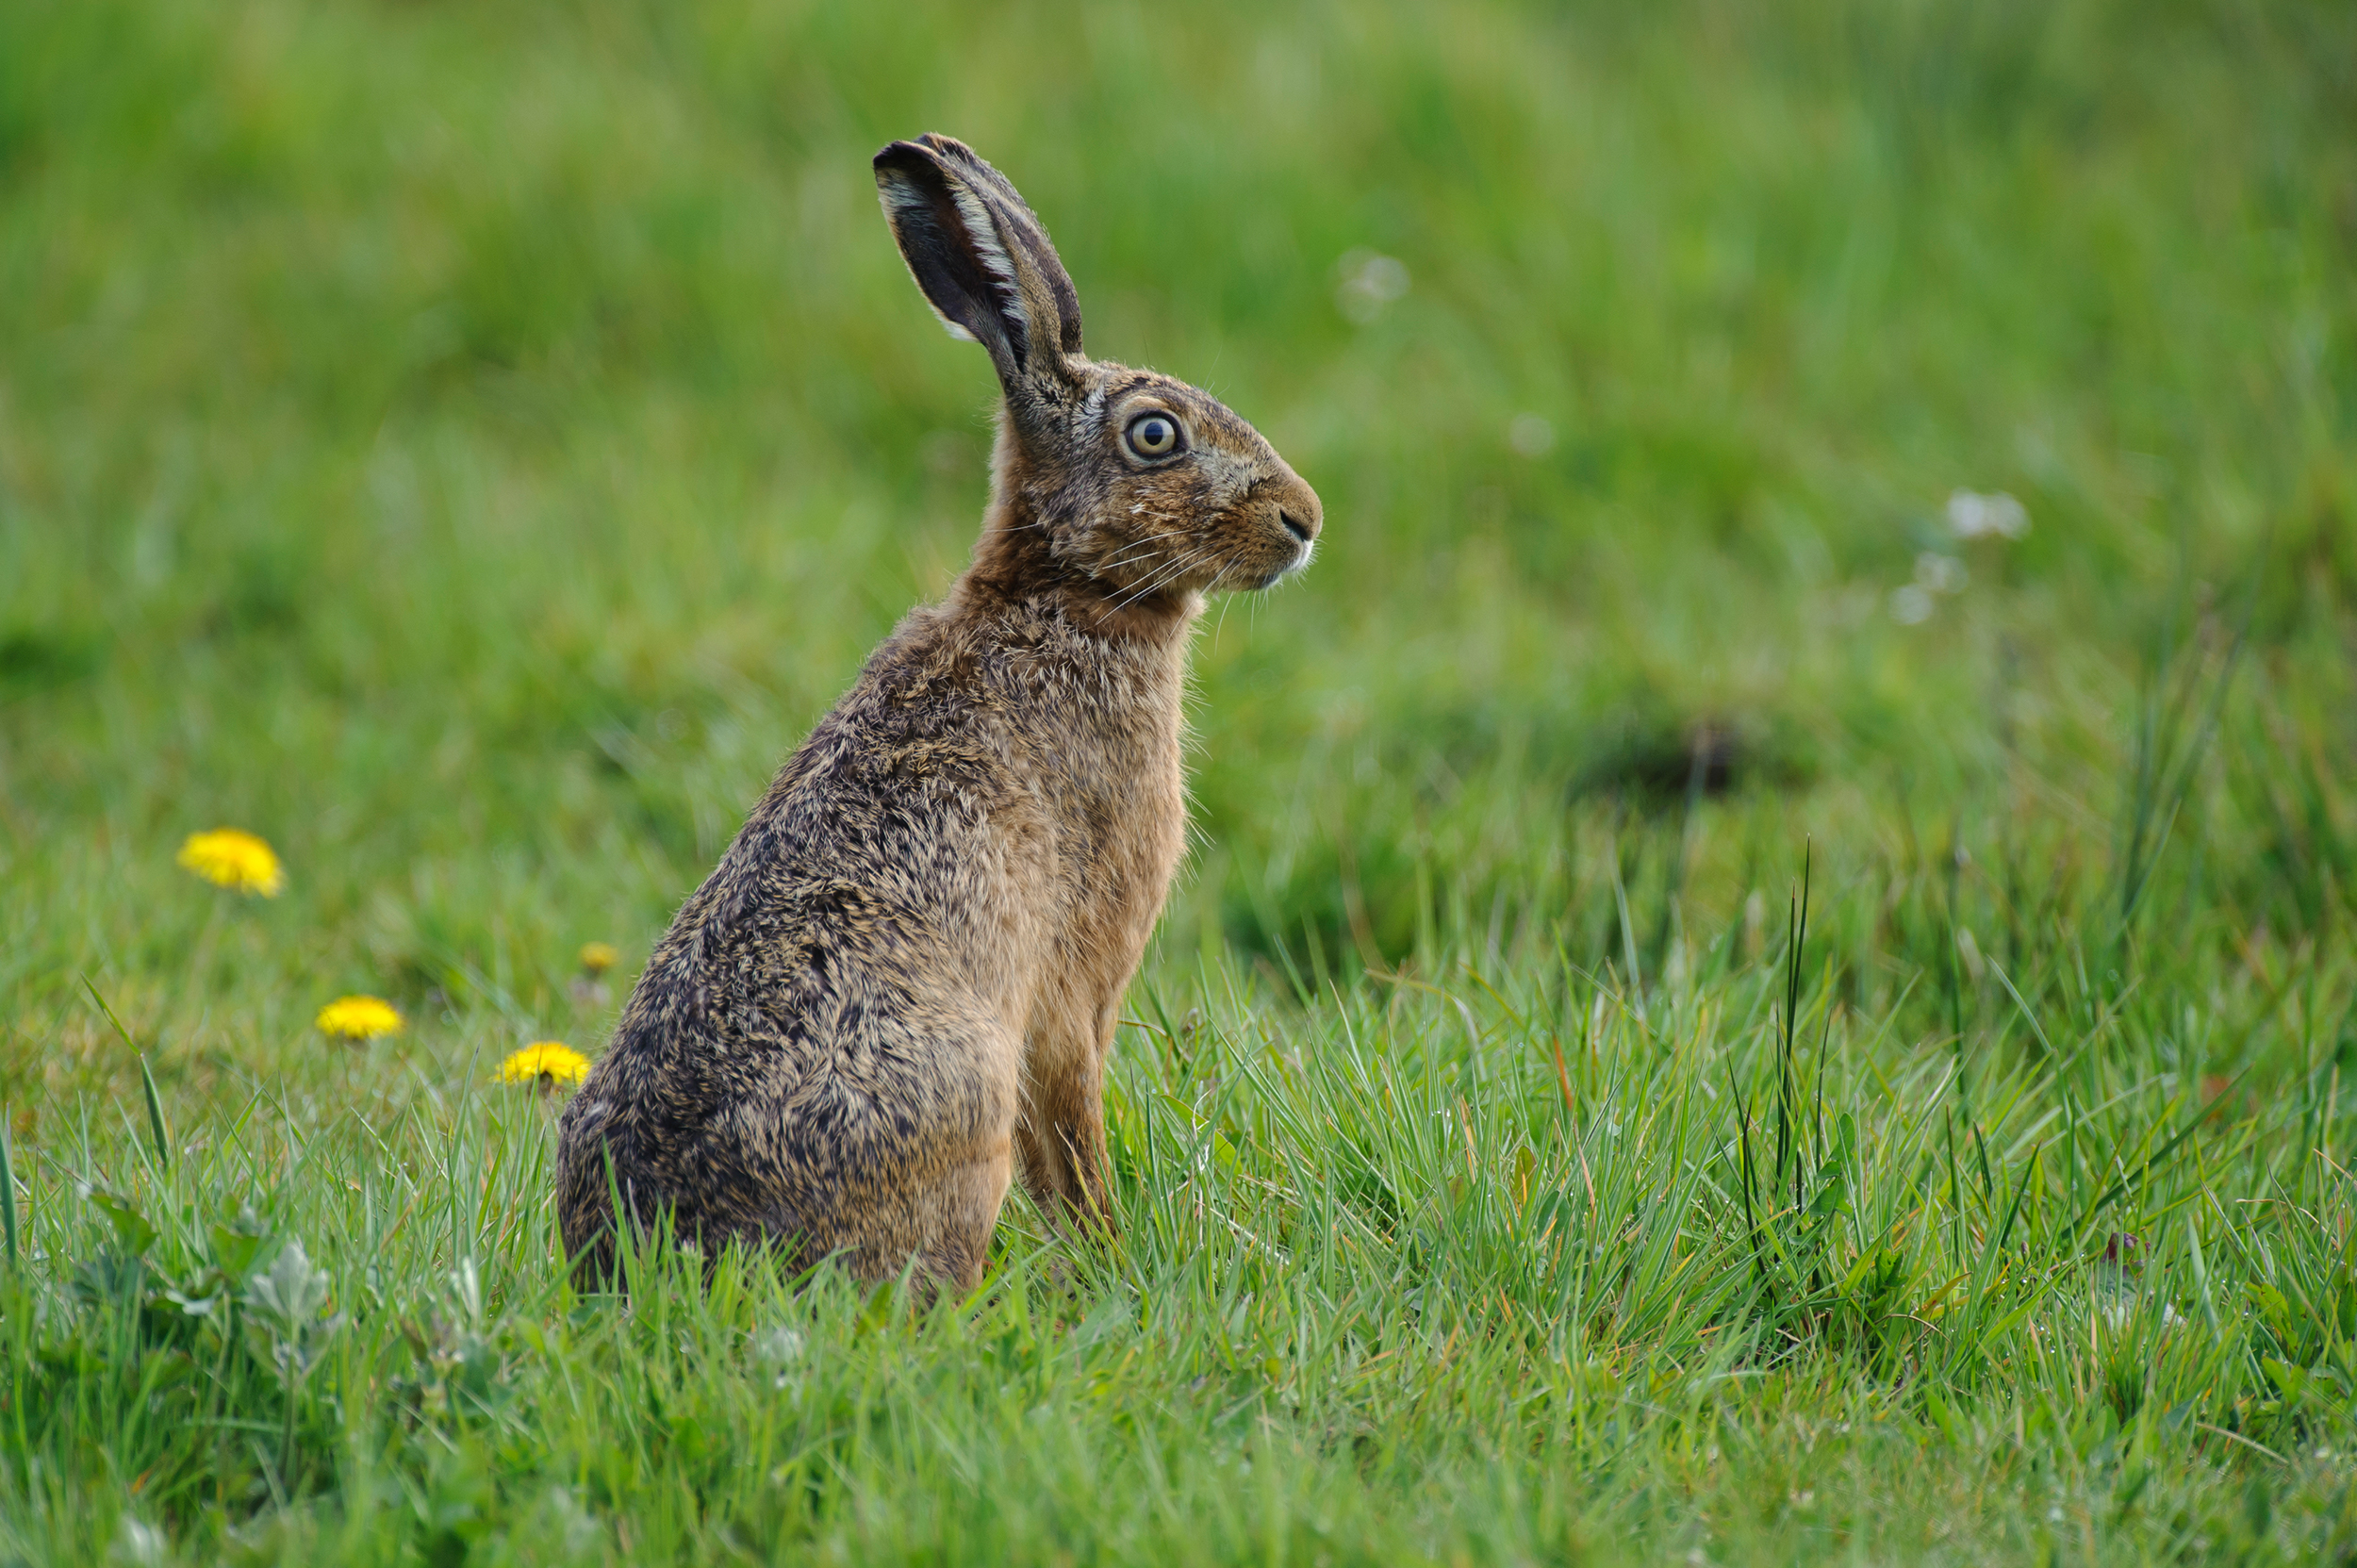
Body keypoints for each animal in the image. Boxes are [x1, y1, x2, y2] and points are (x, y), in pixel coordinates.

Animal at [555, 133, 1321, 1296]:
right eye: (1155, 435)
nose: (1304, 519)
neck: (1061, 592)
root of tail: (663, 1251)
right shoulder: (1072, 982)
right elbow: (1074, 1125)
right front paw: (1111, 1259)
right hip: (961, 1095)